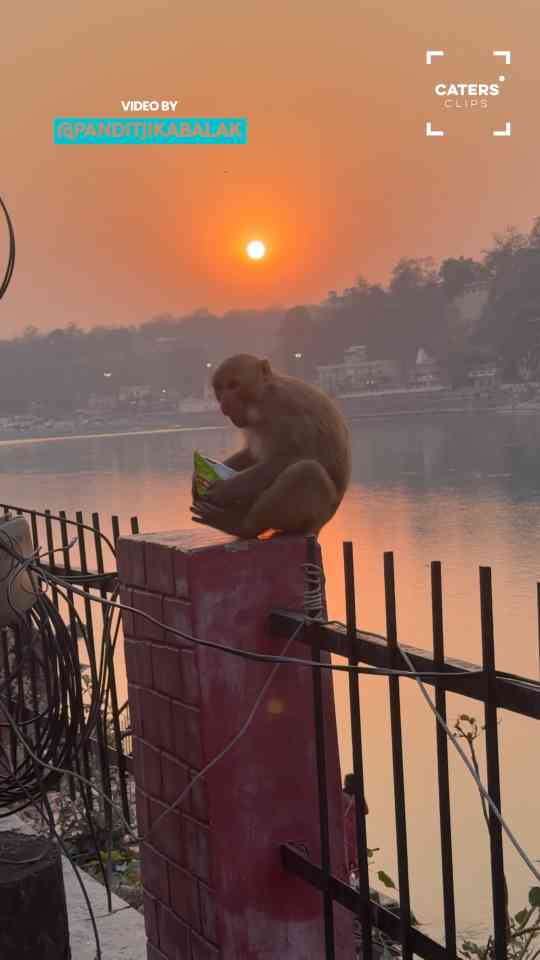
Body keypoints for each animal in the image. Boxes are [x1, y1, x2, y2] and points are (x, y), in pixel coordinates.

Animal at [190, 354, 351, 539]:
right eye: (220, 388)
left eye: (233, 385)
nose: (224, 403)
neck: (262, 398)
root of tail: (321, 525)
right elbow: (252, 454)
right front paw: (198, 478)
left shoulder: (284, 407)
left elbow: (291, 456)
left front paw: (225, 489)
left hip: (319, 512)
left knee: (307, 471)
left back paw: (242, 526)